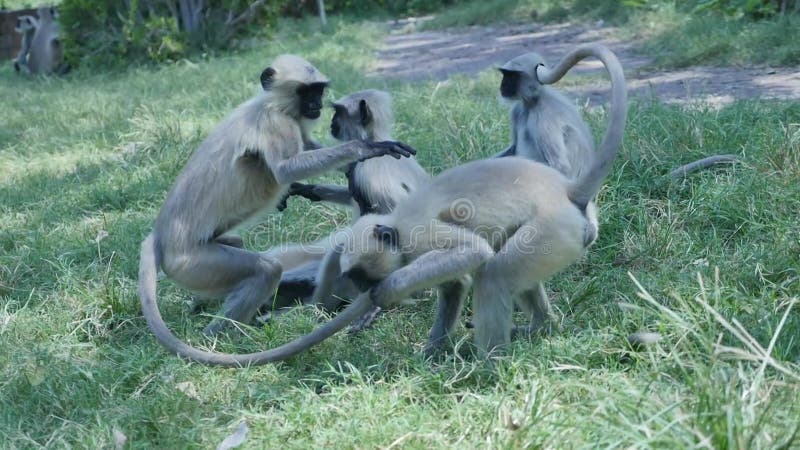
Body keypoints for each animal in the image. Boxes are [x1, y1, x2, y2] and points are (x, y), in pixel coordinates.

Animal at [138, 54, 415, 367]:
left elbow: (308, 148)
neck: (271, 104)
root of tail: (159, 234)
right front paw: (363, 147)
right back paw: (219, 338)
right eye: (306, 92)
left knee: (240, 248)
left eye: (318, 90)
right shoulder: (275, 122)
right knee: (266, 270)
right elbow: (285, 169)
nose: (317, 105)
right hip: (189, 263)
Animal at [309, 45, 627, 357]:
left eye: (363, 278)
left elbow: (473, 251)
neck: (395, 226)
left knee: (494, 273)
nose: (362, 291)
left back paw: (490, 364)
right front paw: (430, 353)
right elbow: (455, 283)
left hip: (552, 227)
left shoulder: (418, 236)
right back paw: (541, 327)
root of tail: (567, 192)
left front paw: (387, 294)